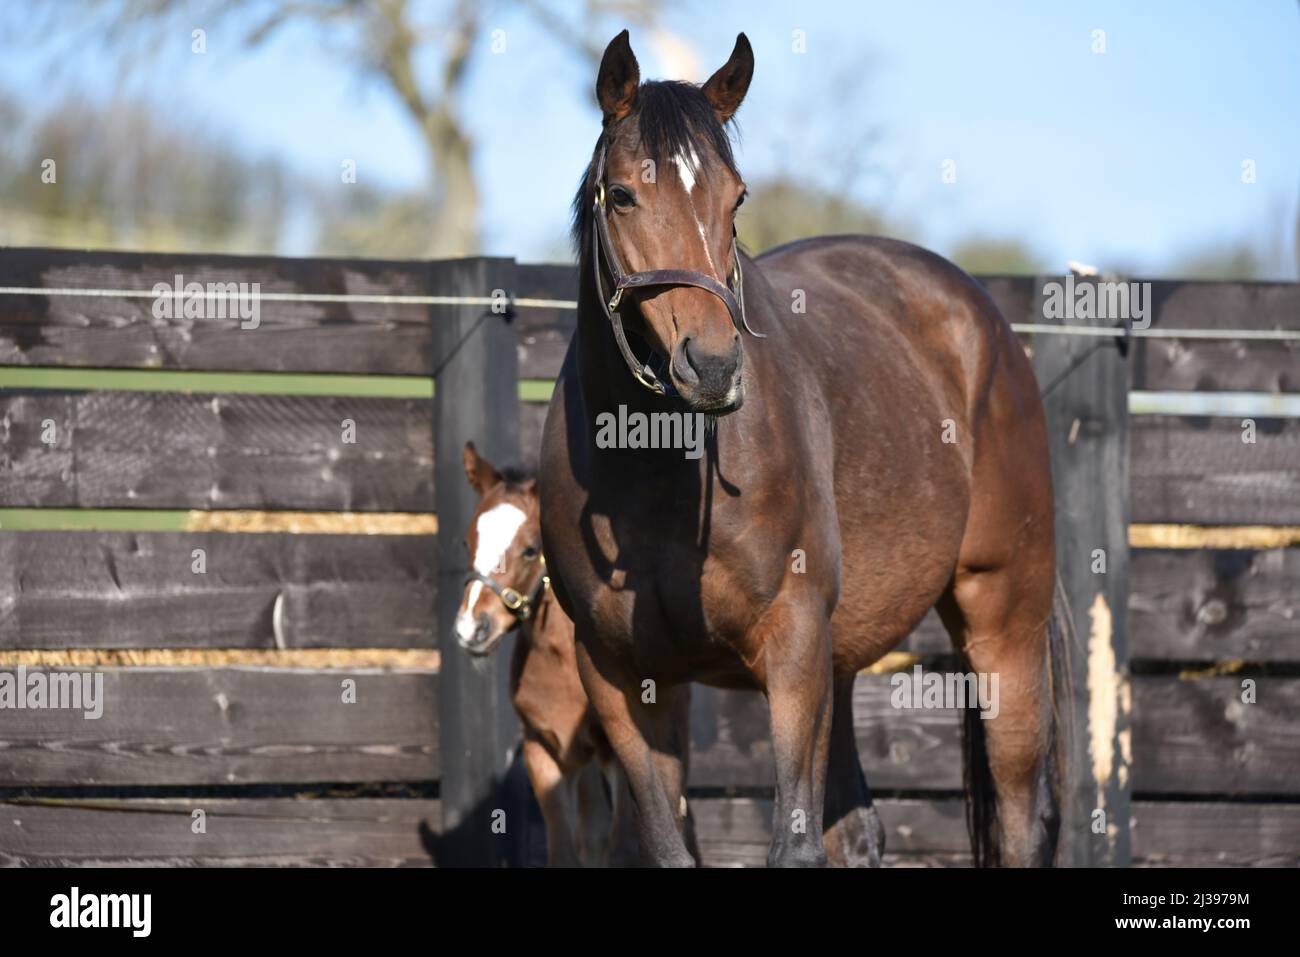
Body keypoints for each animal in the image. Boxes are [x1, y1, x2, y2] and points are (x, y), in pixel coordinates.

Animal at [454, 441, 697, 866]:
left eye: (531, 550)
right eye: (469, 543)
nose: (471, 627)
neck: (563, 667)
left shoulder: (620, 750)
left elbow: (625, 847)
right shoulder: (542, 747)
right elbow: (567, 848)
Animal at [538, 31, 1064, 867]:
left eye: (735, 198)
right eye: (621, 195)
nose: (713, 365)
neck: (654, 473)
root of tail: (984, 320)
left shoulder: (790, 648)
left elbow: (793, 843)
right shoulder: (621, 674)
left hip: (1002, 619)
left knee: (1020, 813)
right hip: (842, 660)